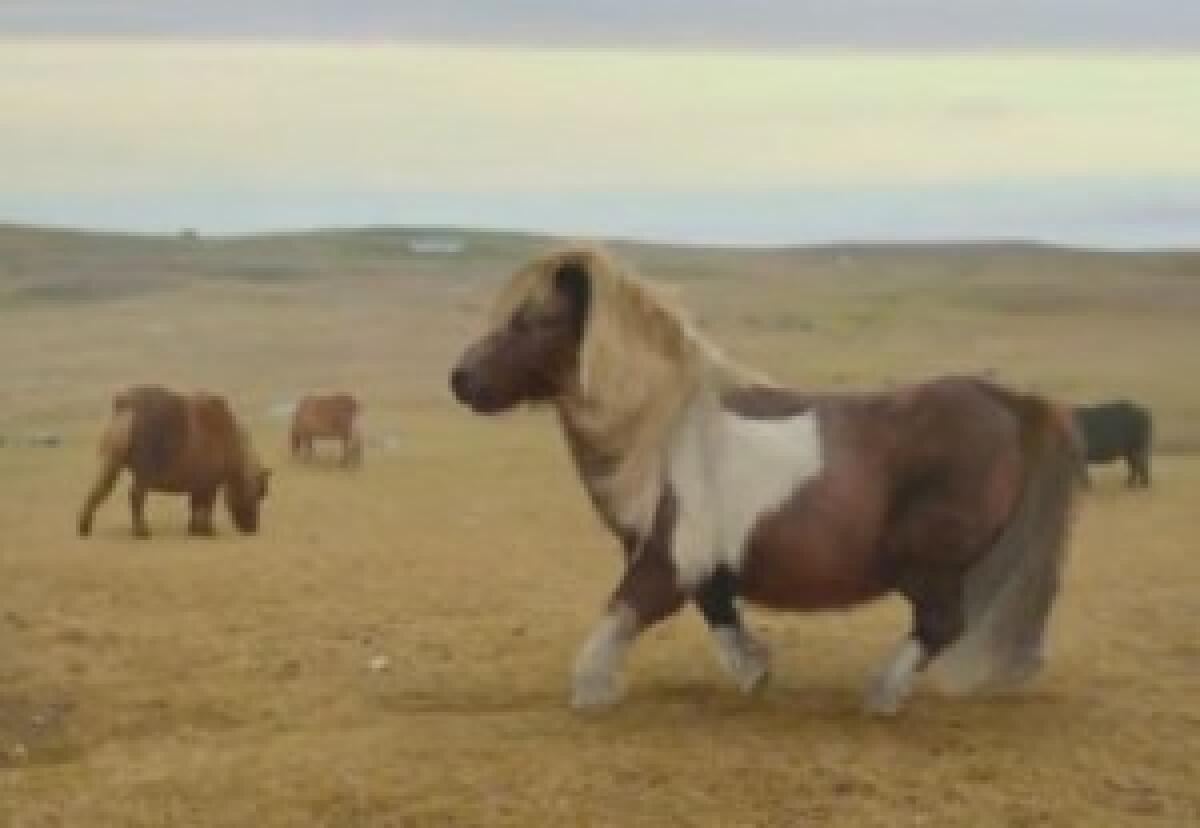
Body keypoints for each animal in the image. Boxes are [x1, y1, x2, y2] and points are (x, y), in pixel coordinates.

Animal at [78, 385, 271, 538]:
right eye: (257, 495)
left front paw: (194, 529)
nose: (253, 528)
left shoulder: (198, 484)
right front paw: (207, 530)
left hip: (112, 460)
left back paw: (85, 526)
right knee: (136, 495)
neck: (232, 444)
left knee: (103, 485)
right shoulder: (210, 483)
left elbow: (195, 506)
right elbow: (207, 506)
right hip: (145, 471)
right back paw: (141, 531)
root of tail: (127, 406)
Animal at [450, 247, 1080, 715]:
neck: (664, 426)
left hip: (929, 565)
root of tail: (1006, 402)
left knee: (940, 625)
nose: (461, 379)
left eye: (531, 321)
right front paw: (755, 673)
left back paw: (881, 693)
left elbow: (619, 618)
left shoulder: (665, 562)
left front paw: (593, 691)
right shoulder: (702, 564)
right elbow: (719, 612)